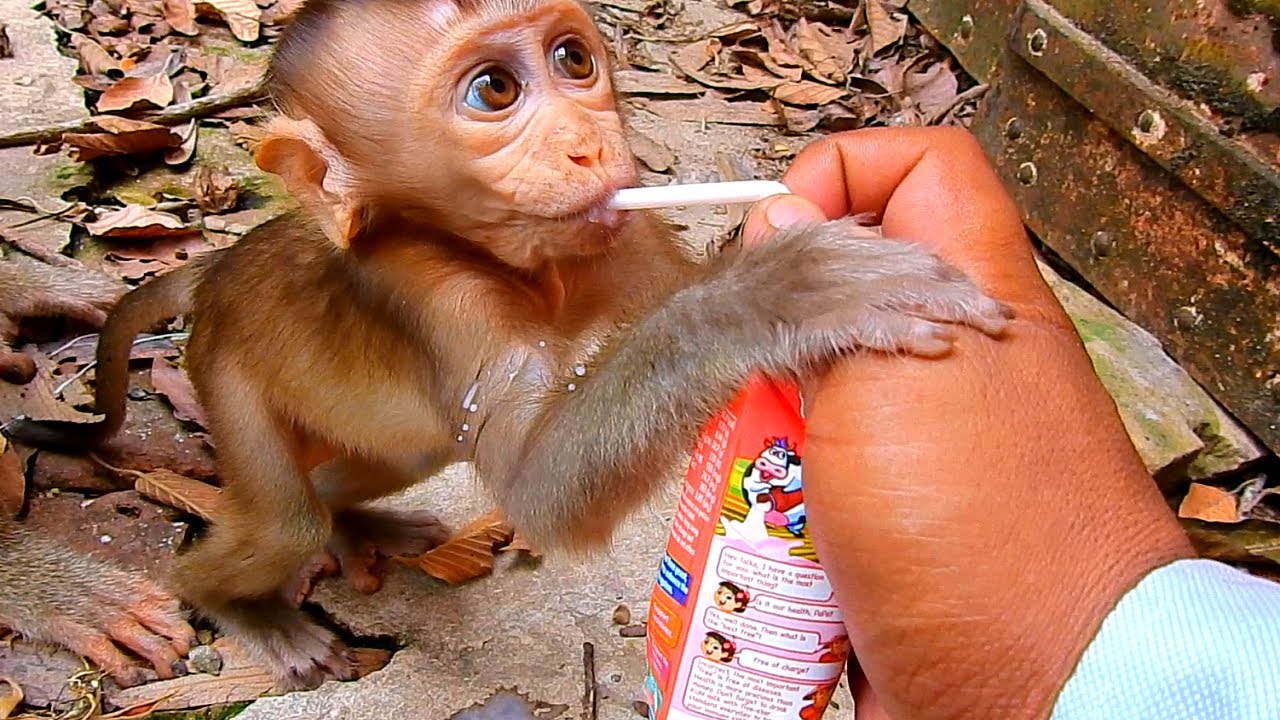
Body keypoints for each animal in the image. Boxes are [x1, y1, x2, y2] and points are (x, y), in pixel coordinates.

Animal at [3, 0, 1013, 690]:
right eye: (495, 90)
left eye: (573, 59)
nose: (590, 145)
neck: (530, 270)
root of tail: (215, 271)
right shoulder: (444, 298)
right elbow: (538, 490)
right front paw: (783, 291)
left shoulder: (623, 240)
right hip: (223, 372)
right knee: (285, 519)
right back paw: (235, 600)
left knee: (389, 457)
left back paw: (357, 520)